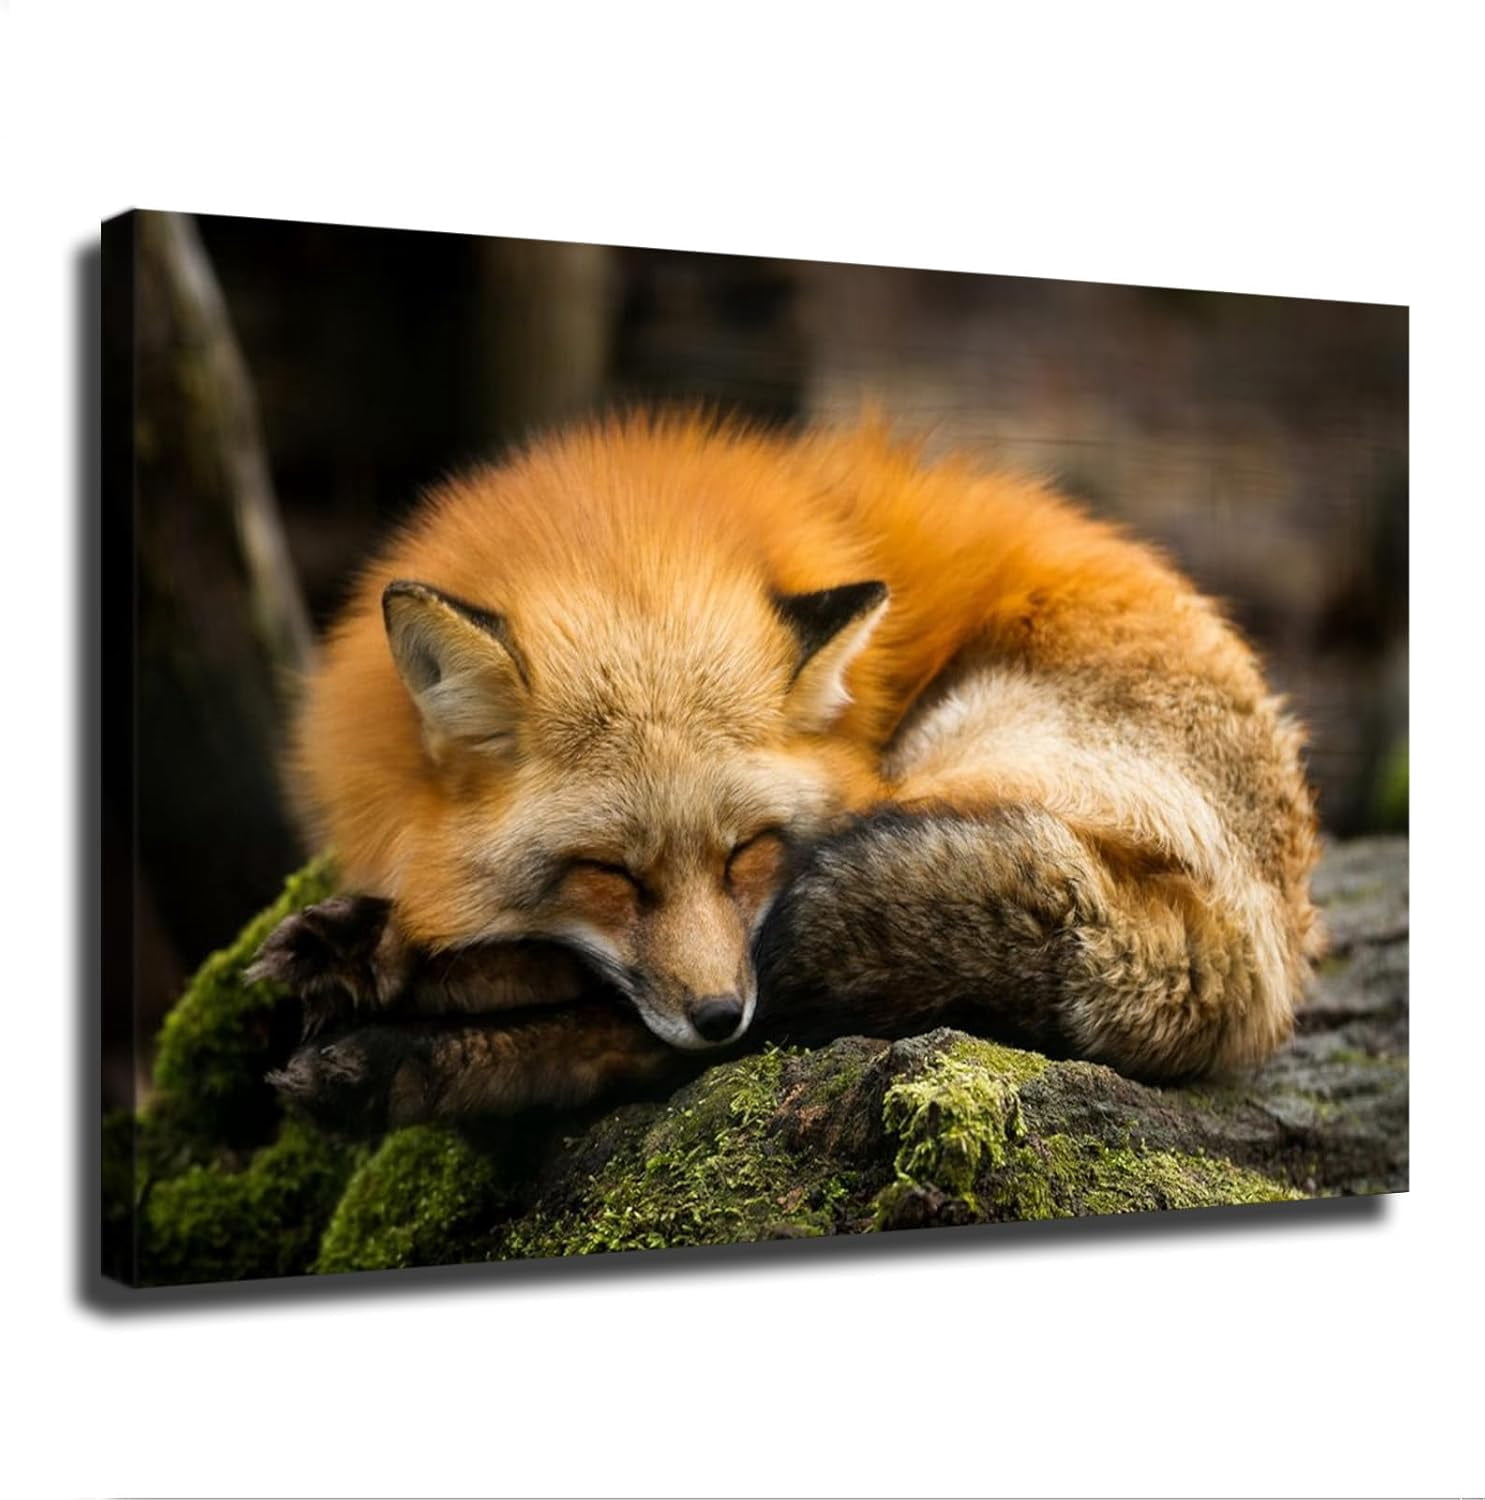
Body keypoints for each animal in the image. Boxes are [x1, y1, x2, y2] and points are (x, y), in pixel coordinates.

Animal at [252, 410, 1321, 1129]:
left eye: (747, 853)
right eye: (608, 874)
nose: (717, 1016)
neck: (628, 536)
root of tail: (1268, 946)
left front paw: (393, 964)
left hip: (951, 774)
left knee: (689, 1031)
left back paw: (393, 1044)